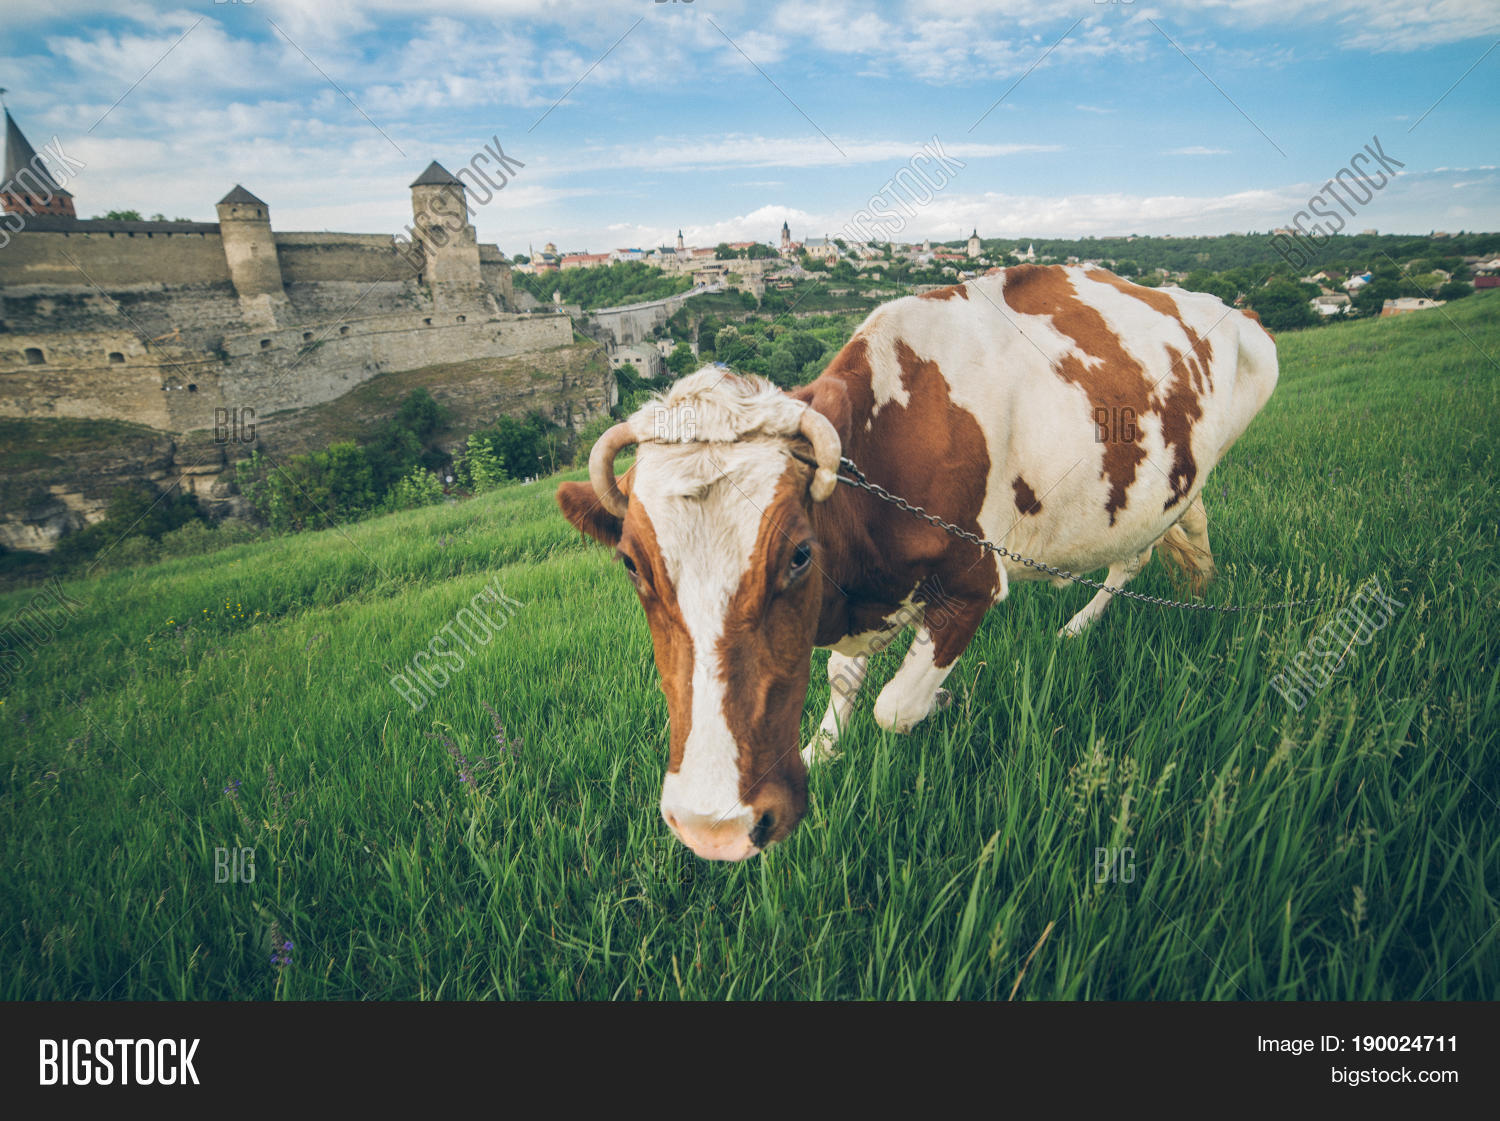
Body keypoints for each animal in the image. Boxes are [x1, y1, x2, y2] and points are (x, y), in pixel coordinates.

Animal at [557, 264, 1278, 861]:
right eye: (631, 565)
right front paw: (823, 748)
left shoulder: (974, 583)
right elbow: (844, 683)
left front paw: (941, 700)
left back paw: (1123, 615)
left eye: (798, 553)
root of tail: (1228, 308)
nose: (714, 827)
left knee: (1150, 550)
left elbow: (895, 707)